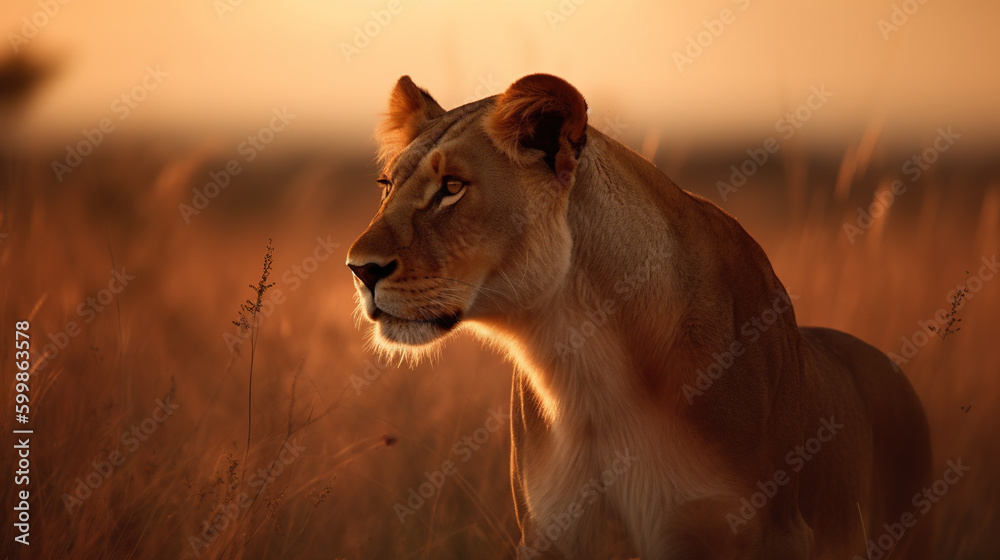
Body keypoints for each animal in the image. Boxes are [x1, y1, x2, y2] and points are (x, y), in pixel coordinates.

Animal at [346, 74, 933, 559]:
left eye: (452, 188)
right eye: (387, 186)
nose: (359, 269)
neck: (580, 356)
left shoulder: (772, 531)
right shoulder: (547, 534)